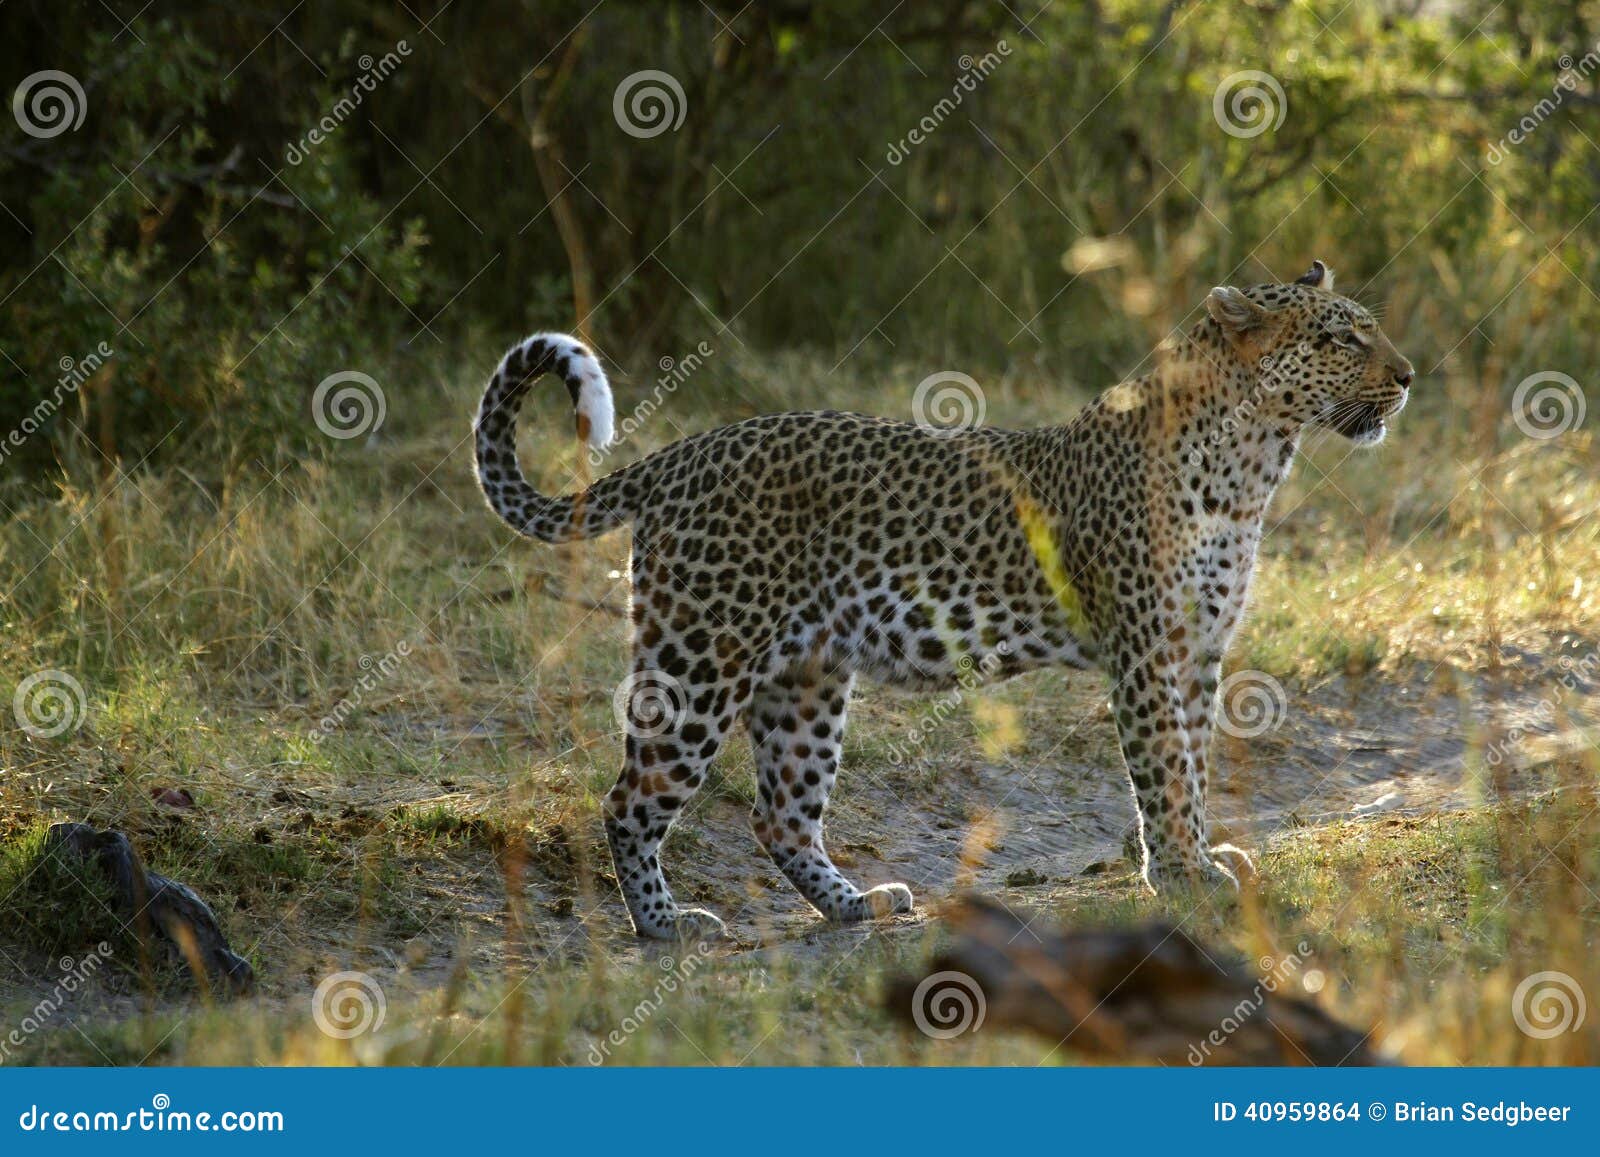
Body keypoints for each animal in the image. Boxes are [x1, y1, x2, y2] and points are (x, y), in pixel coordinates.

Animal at [473, 259, 1414, 940]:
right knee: (629, 799)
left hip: (806, 678)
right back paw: (667, 923)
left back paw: (855, 904)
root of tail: (682, 453)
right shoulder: (1149, 652)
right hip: (702, 661)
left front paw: (1198, 858)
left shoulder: (1200, 651)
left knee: (781, 815)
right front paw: (1185, 874)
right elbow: (1165, 772)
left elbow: (1197, 763)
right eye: (1339, 337)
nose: (1408, 375)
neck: (1253, 463)